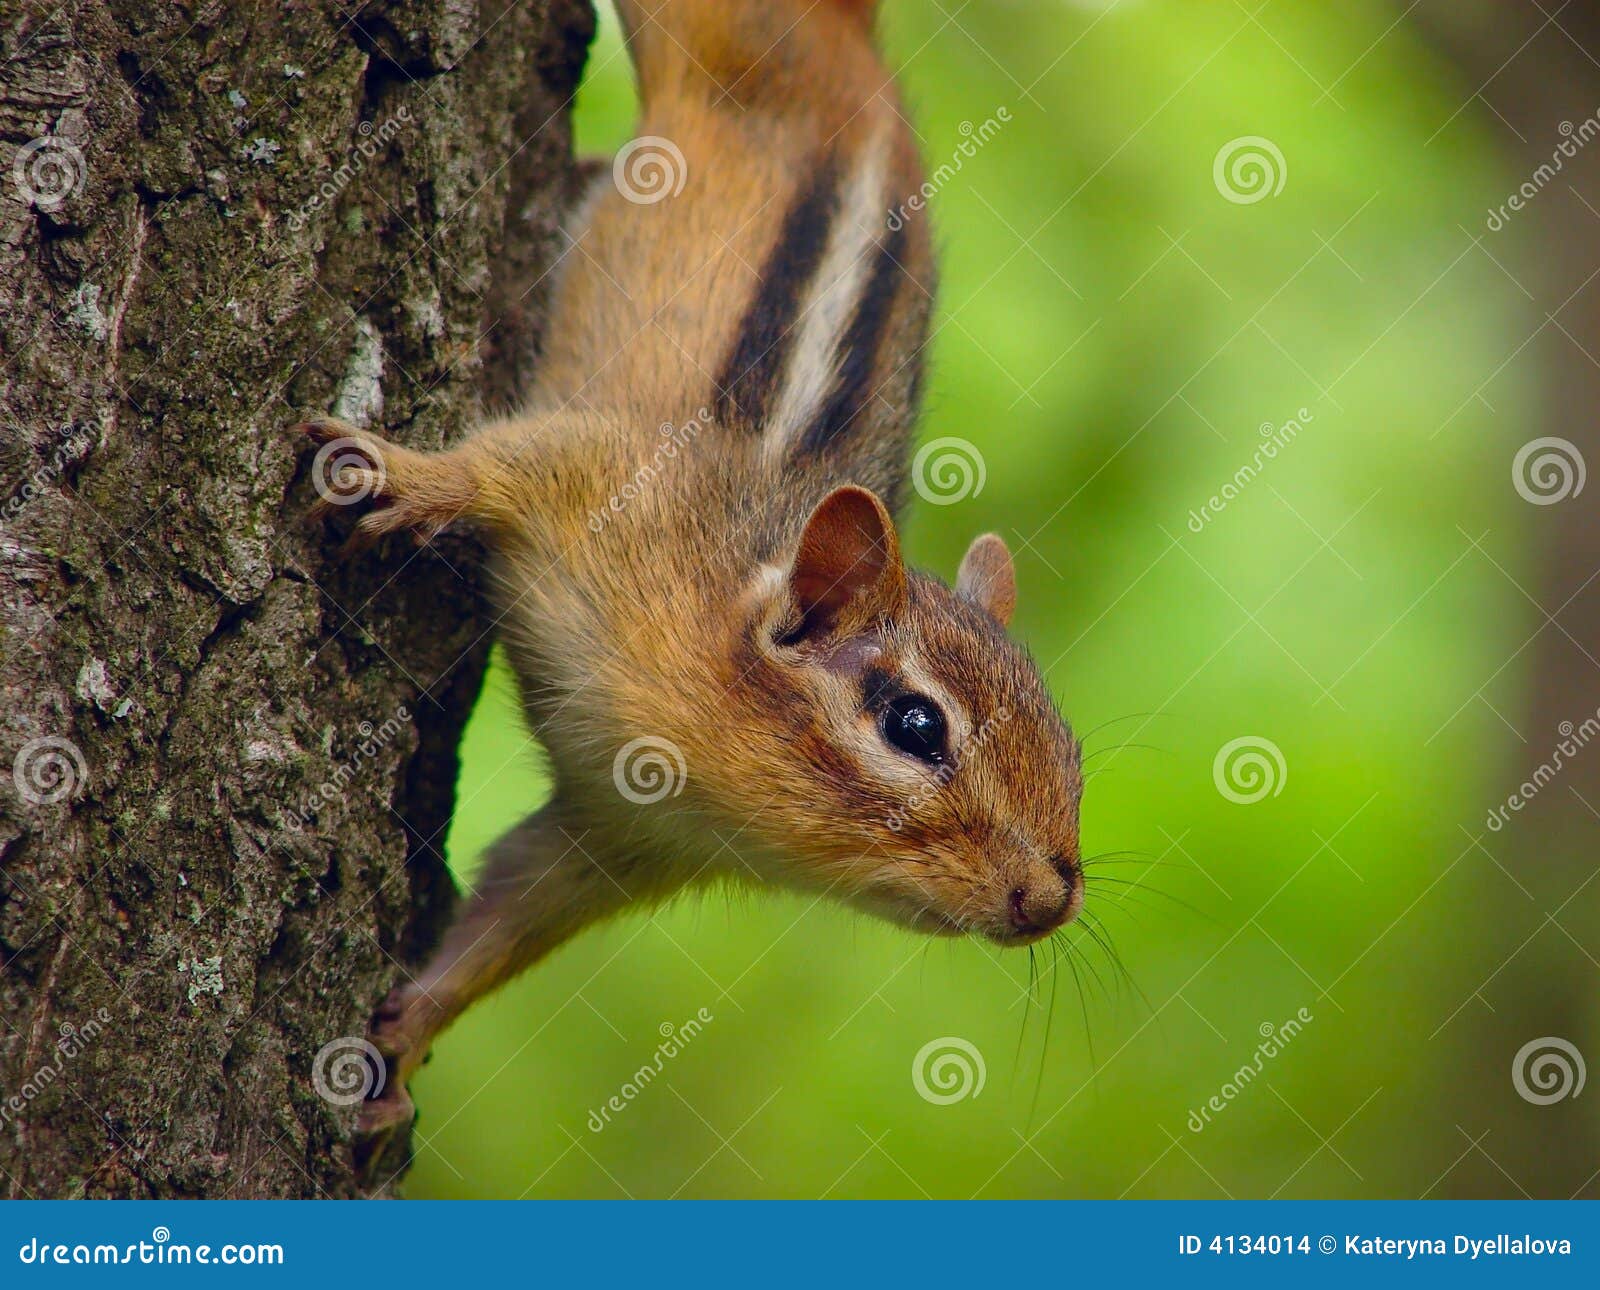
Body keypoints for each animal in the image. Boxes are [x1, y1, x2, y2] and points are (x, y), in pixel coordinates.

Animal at [296, 0, 1084, 1140]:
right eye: (915, 726)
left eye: (1072, 750)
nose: (1050, 900)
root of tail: (854, 56)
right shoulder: (602, 474)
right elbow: (501, 460)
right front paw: (404, 474)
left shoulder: (610, 838)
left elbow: (509, 912)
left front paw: (406, 1035)